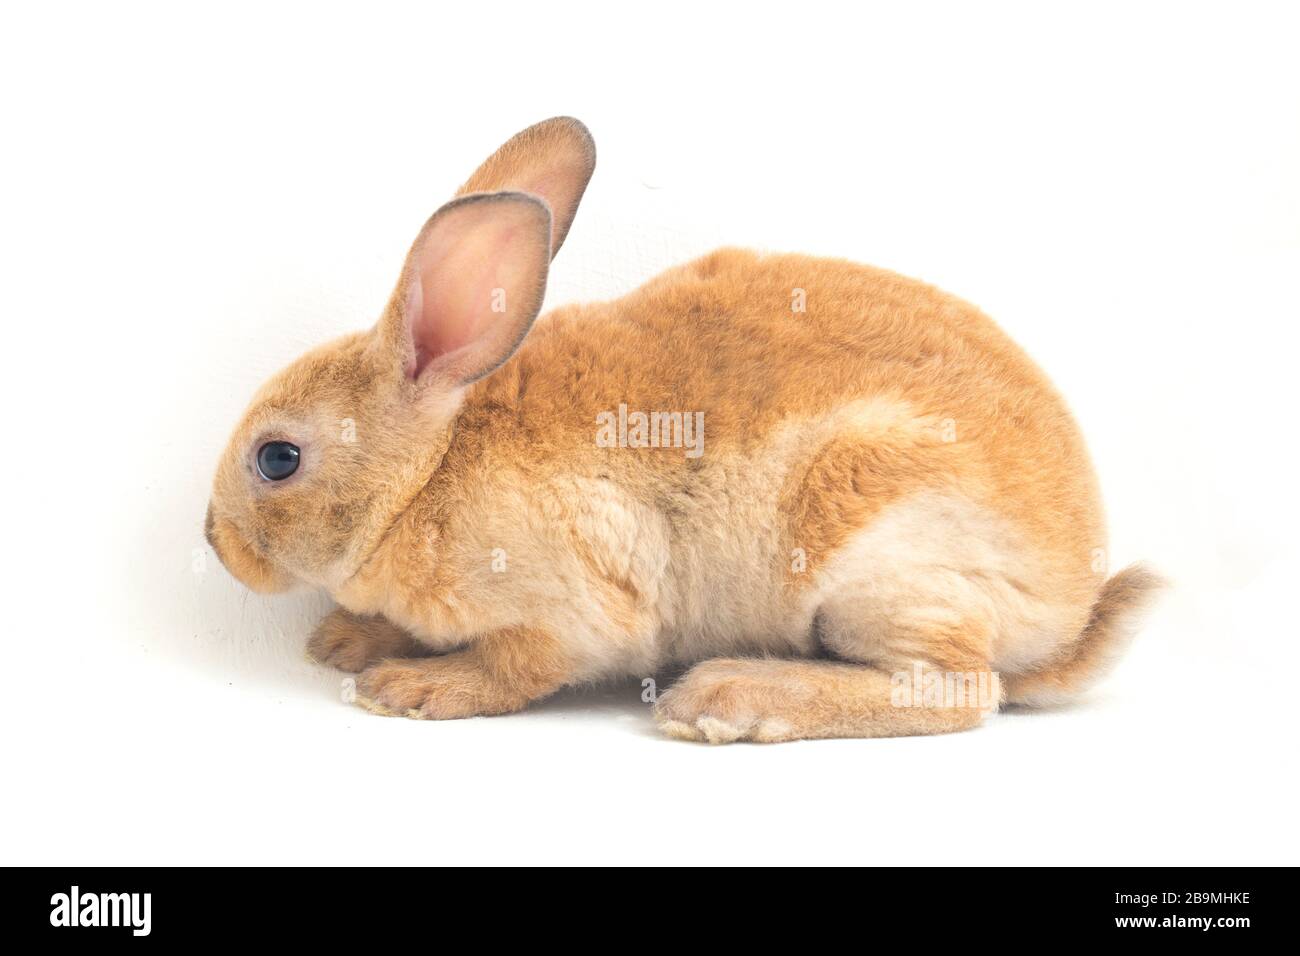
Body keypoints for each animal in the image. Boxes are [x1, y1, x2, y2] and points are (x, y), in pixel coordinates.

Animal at [206, 116, 1164, 743]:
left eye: (278, 458)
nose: (215, 545)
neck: (425, 473)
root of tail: (1074, 607)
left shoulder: (574, 607)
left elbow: (517, 668)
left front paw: (408, 688)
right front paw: (346, 642)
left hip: (879, 549)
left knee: (958, 692)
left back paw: (727, 698)